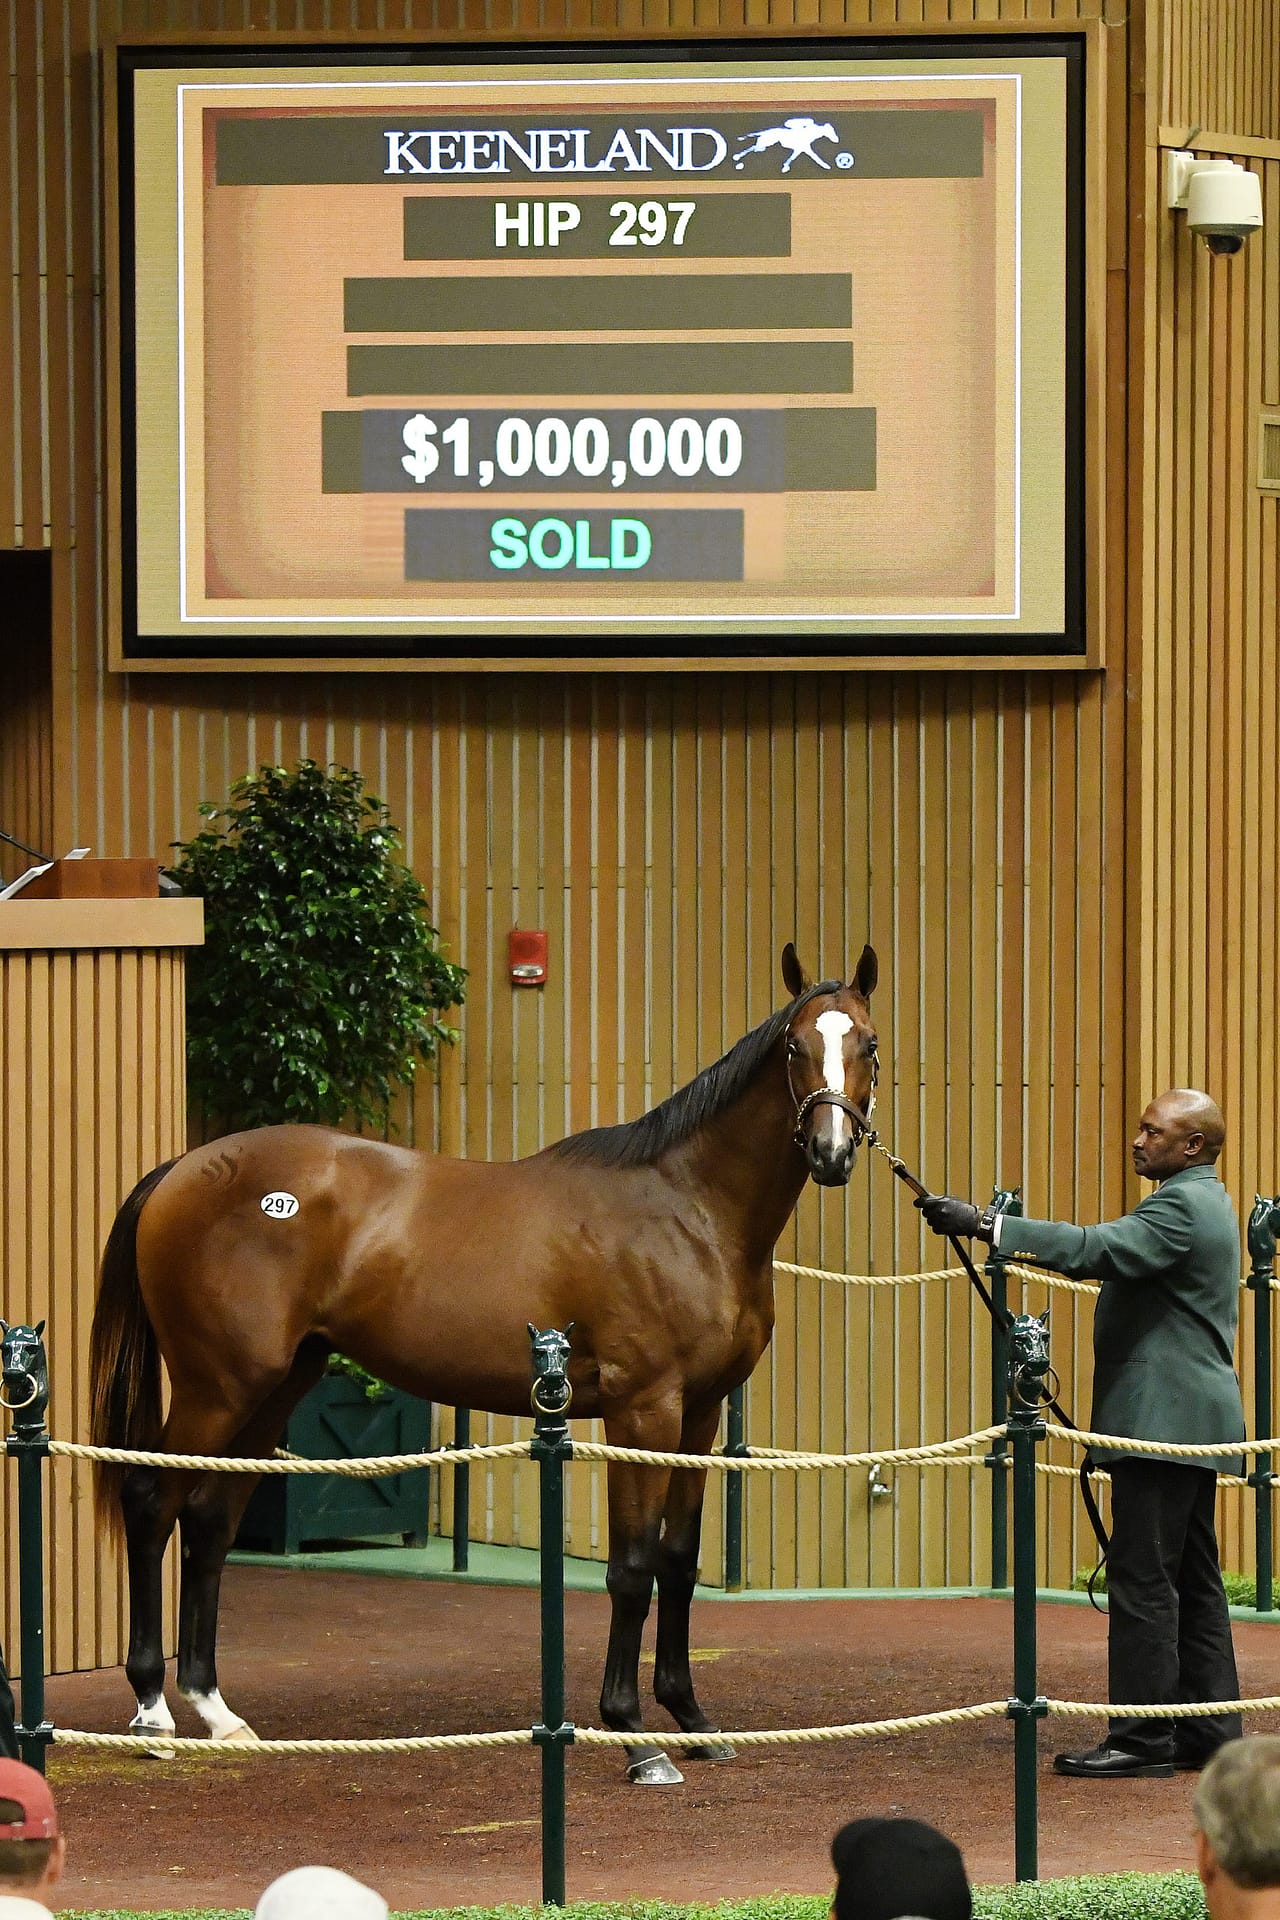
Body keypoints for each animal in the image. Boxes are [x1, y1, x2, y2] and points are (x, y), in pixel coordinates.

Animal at [88, 941, 879, 1783]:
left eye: (868, 1045)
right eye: (793, 1047)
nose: (831, 1152)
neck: (687, 1210)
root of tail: (179, 1171)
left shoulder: (698, 1416)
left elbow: (678, 1560)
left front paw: (694, 1719)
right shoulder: (644, 1411)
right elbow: (632, 1568)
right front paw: (635, 1736)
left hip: (275, 1387)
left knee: (209, 1518)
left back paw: (216, 1711)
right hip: (216, 1387)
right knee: (151, 1501)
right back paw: (151, 1713)